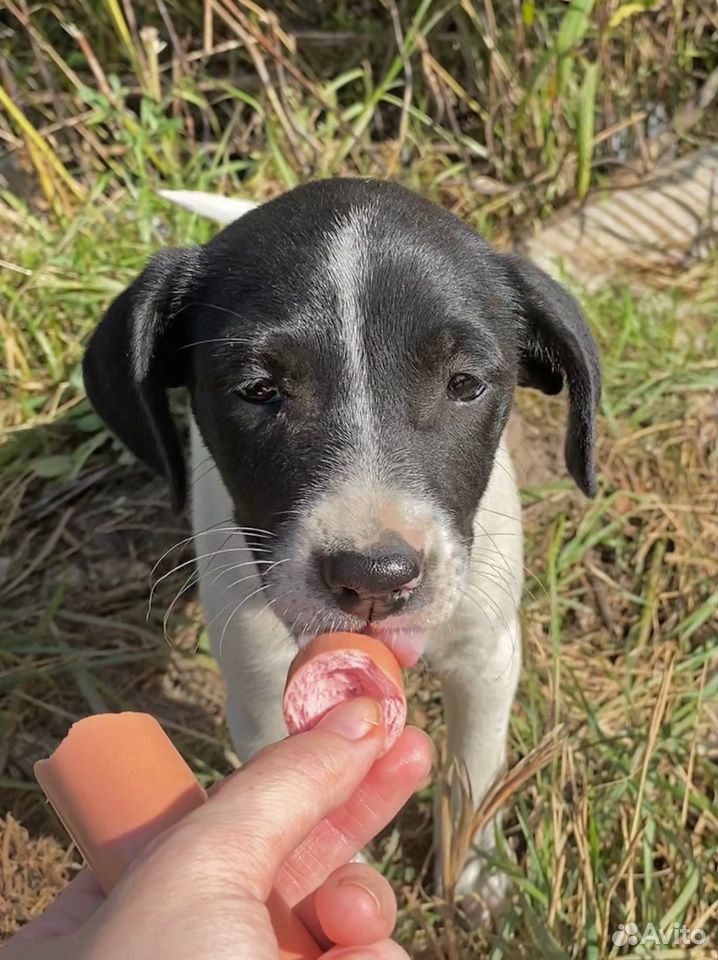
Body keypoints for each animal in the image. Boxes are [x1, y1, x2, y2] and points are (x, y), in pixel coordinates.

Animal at [84, 180, 600, 916]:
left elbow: (475, 763)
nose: (376, 577)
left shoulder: (487, 653)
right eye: (257, 390)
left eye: (466, 384)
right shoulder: (259, 687)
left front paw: (474, 869)